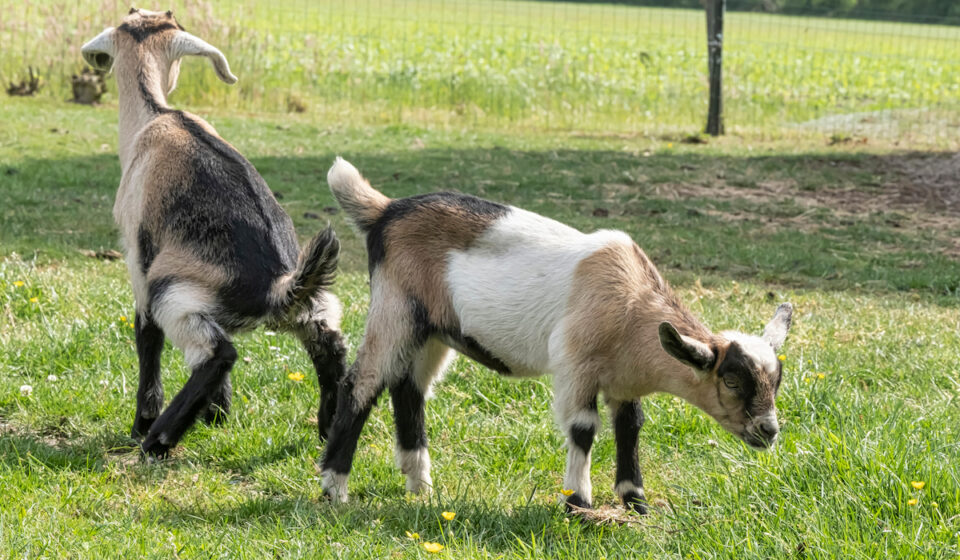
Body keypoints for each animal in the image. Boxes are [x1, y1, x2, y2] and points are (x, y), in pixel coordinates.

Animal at [80, 10, 347, 457]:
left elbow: (146, 335)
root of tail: (280, 285)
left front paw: (143, 421)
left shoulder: (138, 258)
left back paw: (158, 438)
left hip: (175, 291)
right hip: (315, 307)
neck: (155, 117)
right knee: (330, 345)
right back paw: (329, 429)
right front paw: (218, 415)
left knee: (217, 353)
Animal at [320, 158, 793, 514]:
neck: (632, 302)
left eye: (777, 381)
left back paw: (420, 486)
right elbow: (583, 428)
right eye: (731, 380)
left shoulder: (623, 380)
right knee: (361, 385)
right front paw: (578, 503)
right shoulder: (575, 366)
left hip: (433, 332)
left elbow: (630, 427)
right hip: (395, 310)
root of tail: (384, 210)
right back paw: (334, 489)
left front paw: (635, 502)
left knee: (408, 387)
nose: (769, 431)